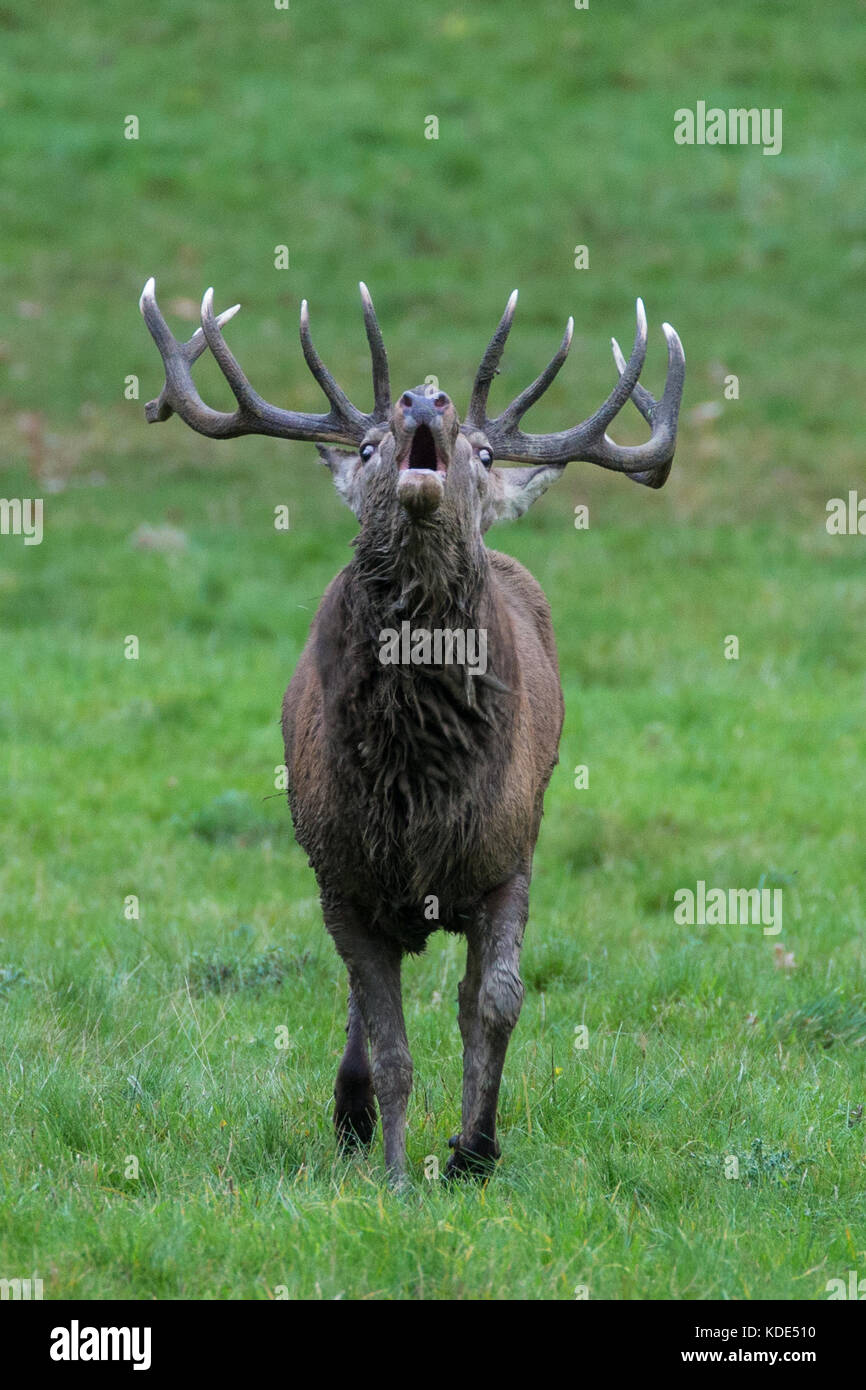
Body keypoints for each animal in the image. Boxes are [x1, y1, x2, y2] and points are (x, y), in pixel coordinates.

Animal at [139, 278, 684, 1183]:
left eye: (485, 454)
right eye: (365, 446)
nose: (423, 399)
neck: (417, 781)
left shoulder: (510, 852)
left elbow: (495, 1002)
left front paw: (475, 1149)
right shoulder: (341, 874)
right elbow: (389, 1039)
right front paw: (394, 1172)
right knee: (362, 1004)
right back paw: (351, 1113)